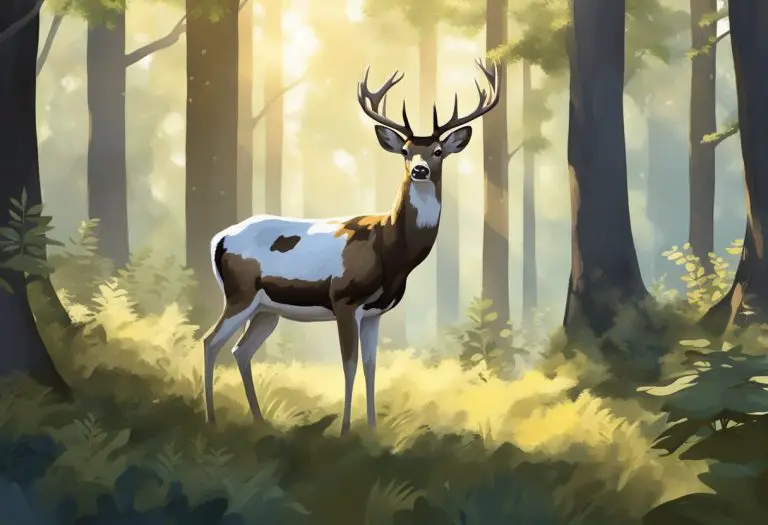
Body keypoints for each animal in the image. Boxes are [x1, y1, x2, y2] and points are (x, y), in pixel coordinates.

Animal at [202, 59, 501, 435]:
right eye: (406, 151)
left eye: (437, 152)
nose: (419, 170)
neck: (389, 250)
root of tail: (218, 238)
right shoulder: (344, 300)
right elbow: (349, 364)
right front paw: (345, 429)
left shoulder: (374, 312)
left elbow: (372, 366)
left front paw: (372, 428)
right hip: (239, 294)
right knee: (210, 342)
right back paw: (211, 419)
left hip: (267, 309)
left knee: (241, 350)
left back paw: (259, 419)